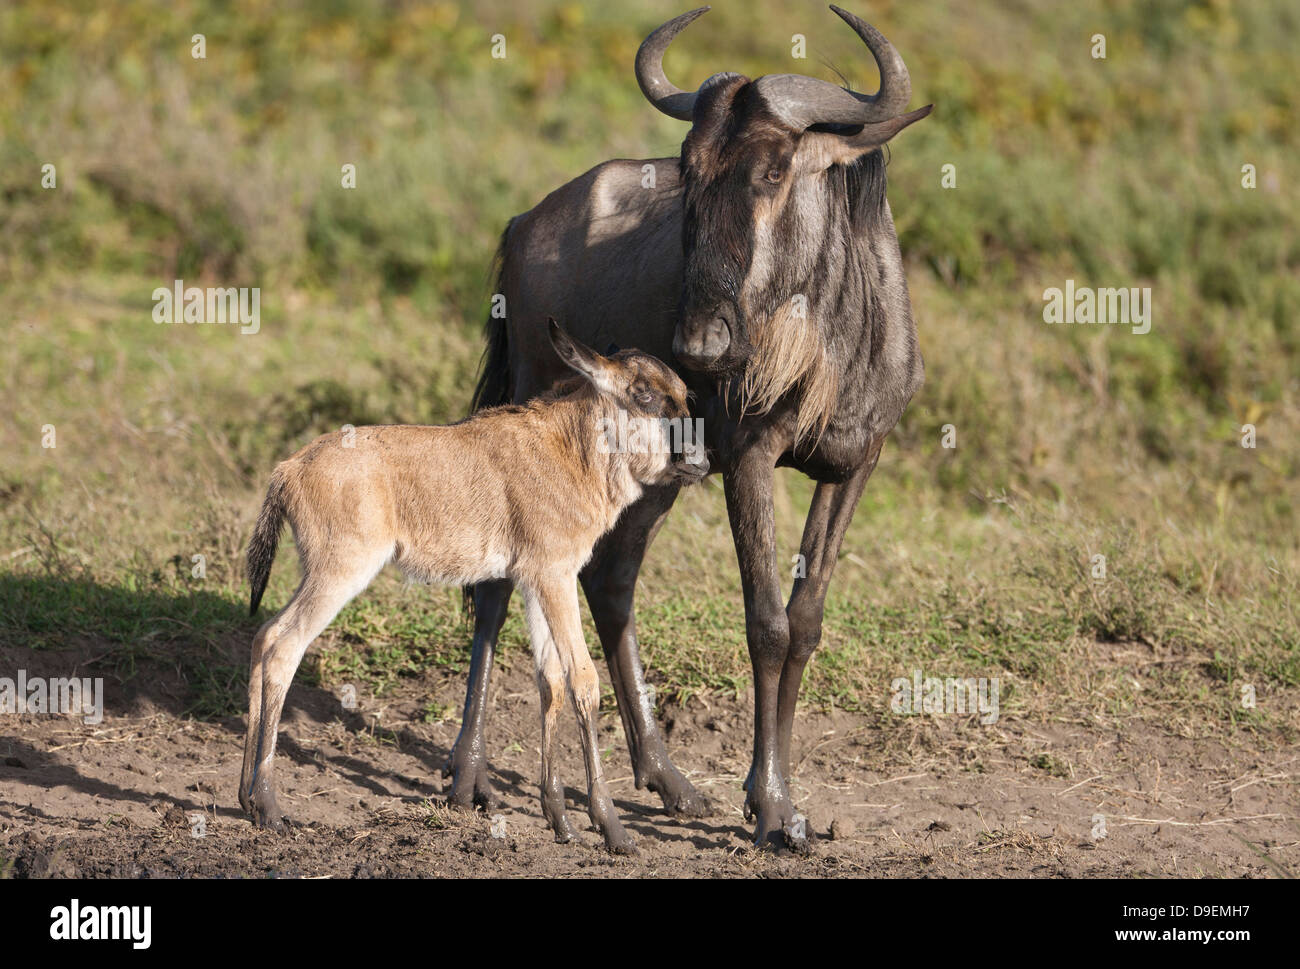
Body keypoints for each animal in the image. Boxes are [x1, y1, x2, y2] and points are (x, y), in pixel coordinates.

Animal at [240, 321, 707, 854]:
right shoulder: (555, 576)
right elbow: (583, 681)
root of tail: (289, 469)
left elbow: (550, 680)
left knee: (263, 636)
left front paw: (560, 822)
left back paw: (246, 799)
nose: (699, 460)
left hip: (318, 575)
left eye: (683, 394)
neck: (571, 451)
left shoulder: (533, 579)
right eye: (643, 394)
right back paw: (270, 807)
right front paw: (612, 828)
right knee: (284, 647)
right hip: (339, 573)